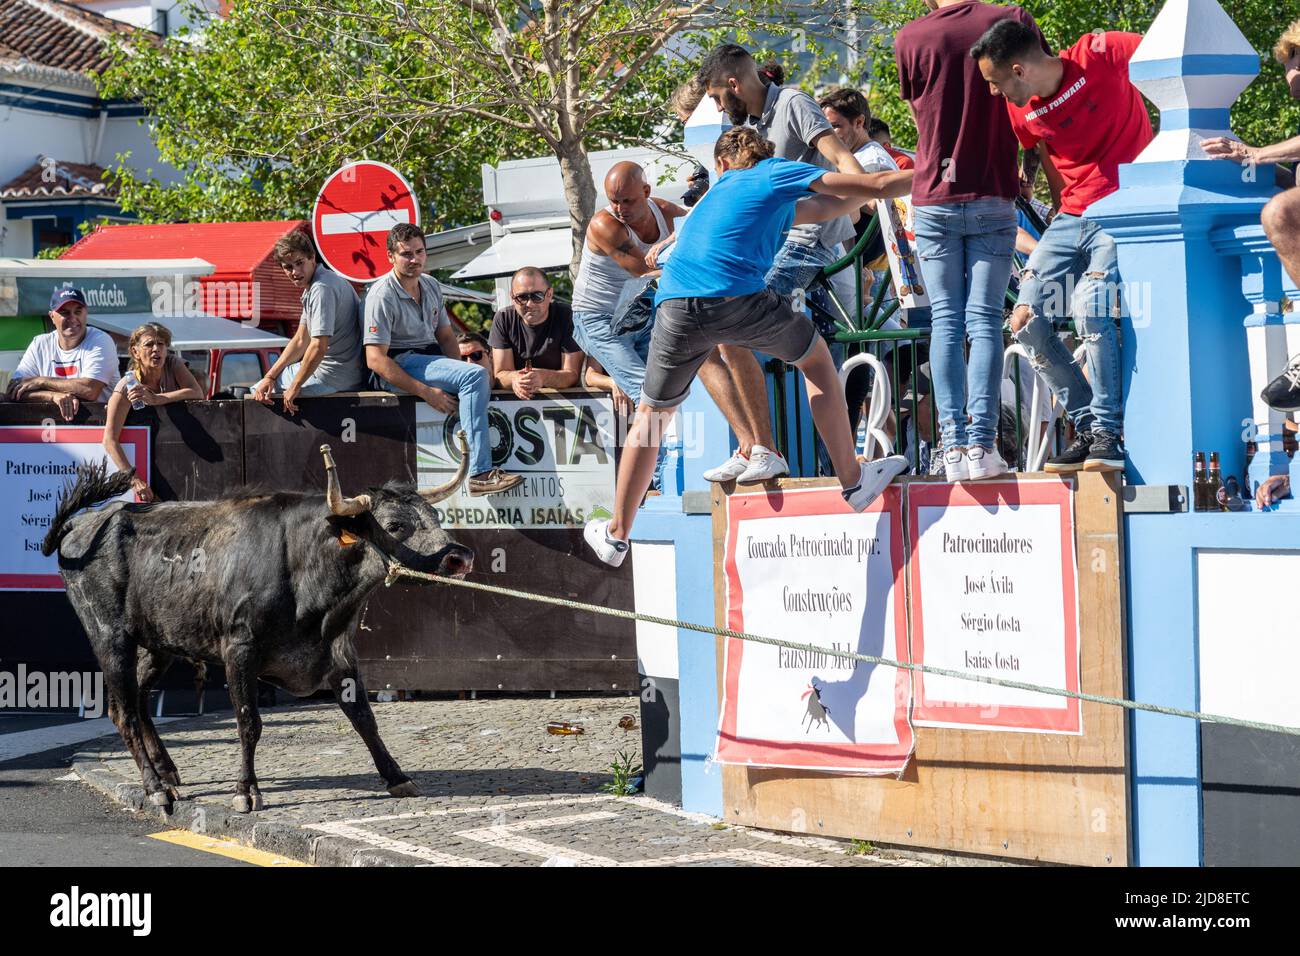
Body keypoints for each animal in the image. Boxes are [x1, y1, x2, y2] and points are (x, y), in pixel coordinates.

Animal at [42, 436, 473, 815]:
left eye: (434, 516)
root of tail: (84, 523)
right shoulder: (240, 651)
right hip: (110, 637)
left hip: (158, 643)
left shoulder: (339, 653)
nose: (460, 557)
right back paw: (155, 788)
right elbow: (249, 722)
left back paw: (168, 773)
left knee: (139, 700)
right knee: (124, 712)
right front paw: (246, 791)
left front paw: (397, 777)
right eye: (396, 524)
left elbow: (364, 719)